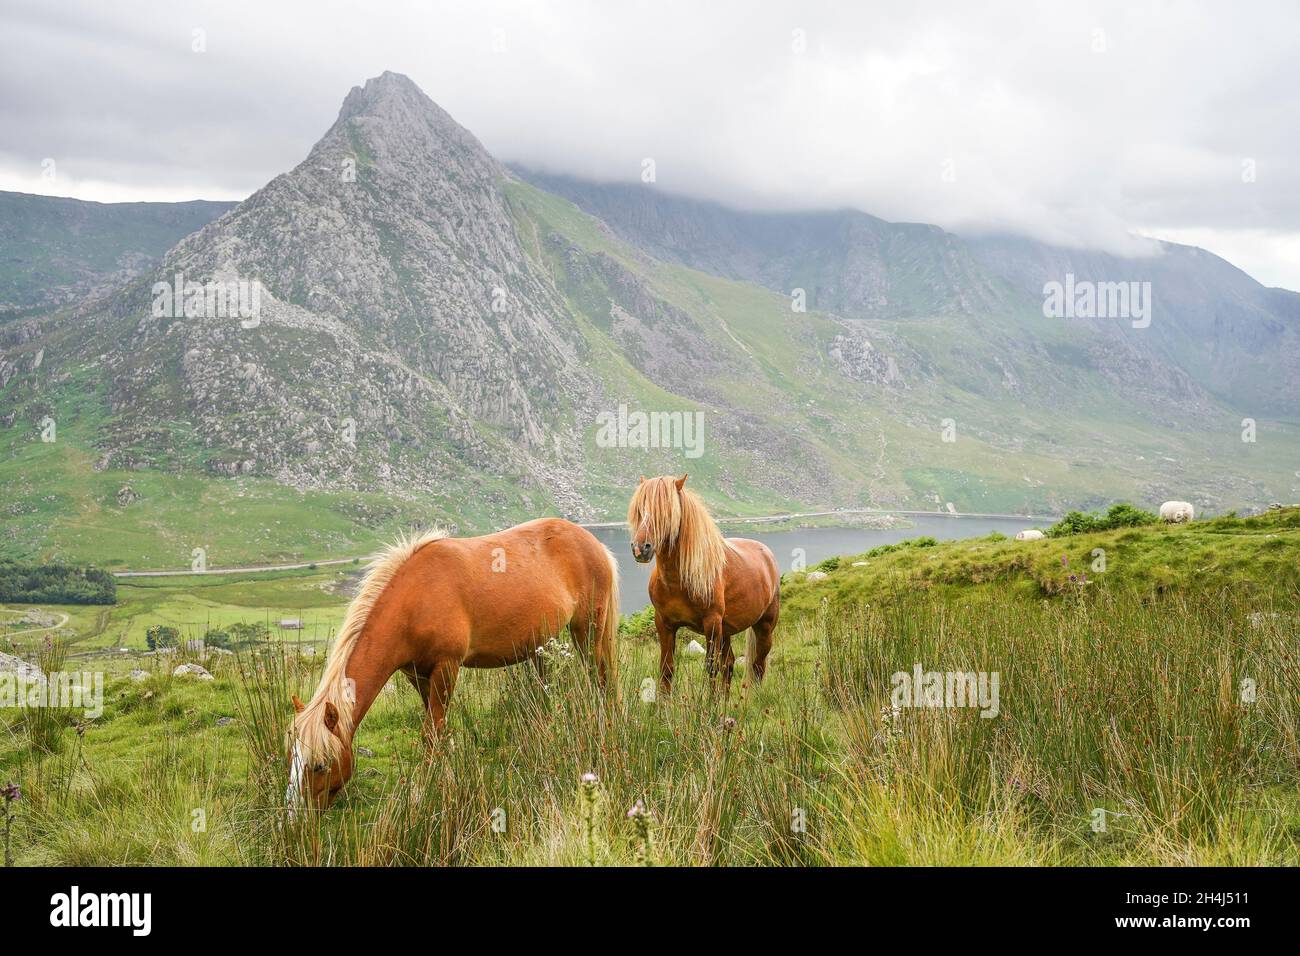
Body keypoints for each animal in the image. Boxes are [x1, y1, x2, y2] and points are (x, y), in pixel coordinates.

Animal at [286, 517, 620, 809]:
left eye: (319, 766)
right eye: (292, 758)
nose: (296, 818)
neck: (415, 601)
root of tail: (593, 543)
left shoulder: (446, 668)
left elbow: (432, 733)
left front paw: (427, 789)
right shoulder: (418, 676)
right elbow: (436, 730)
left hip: (587, 632)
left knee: (600, 680)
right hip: (542, 645)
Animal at [627, 474, 780, 694]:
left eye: (668, 510)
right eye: (640, 509)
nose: (640, 549)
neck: (678, 581)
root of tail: (766, 552)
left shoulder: (712, 623)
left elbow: (711, 667)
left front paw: (709, 703)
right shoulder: (664, 624)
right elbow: (667, 668)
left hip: (764, 627)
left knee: (758, 665)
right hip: (726, 632)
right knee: (730, 664)